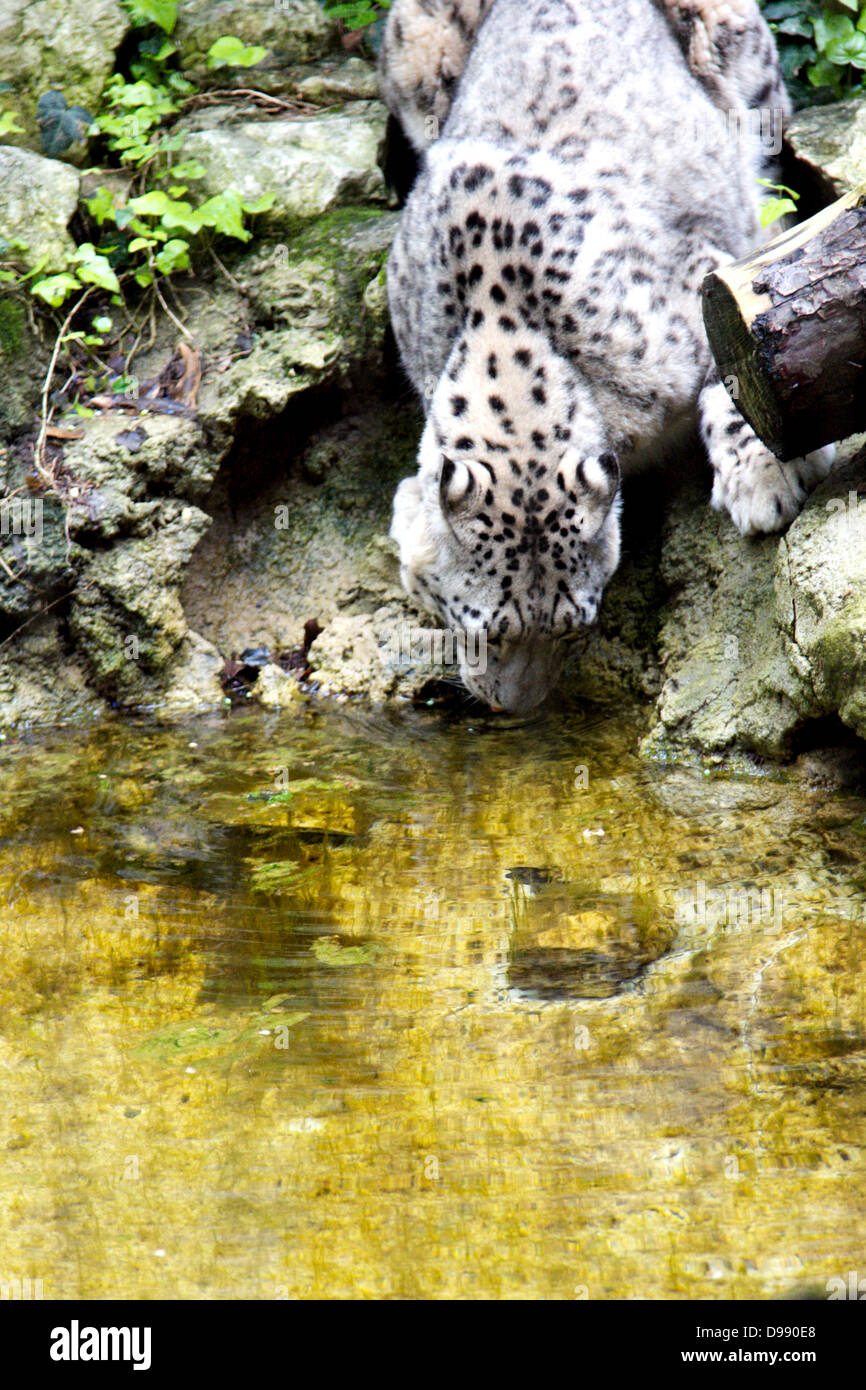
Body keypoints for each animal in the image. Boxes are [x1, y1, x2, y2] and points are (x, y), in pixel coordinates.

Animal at [379, 0, 836, 713]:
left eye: (572, 628)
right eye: (483, 628)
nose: (517, 708)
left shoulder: (698, 284)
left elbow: (737, 360)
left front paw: (764, 479)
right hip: (414, 45)